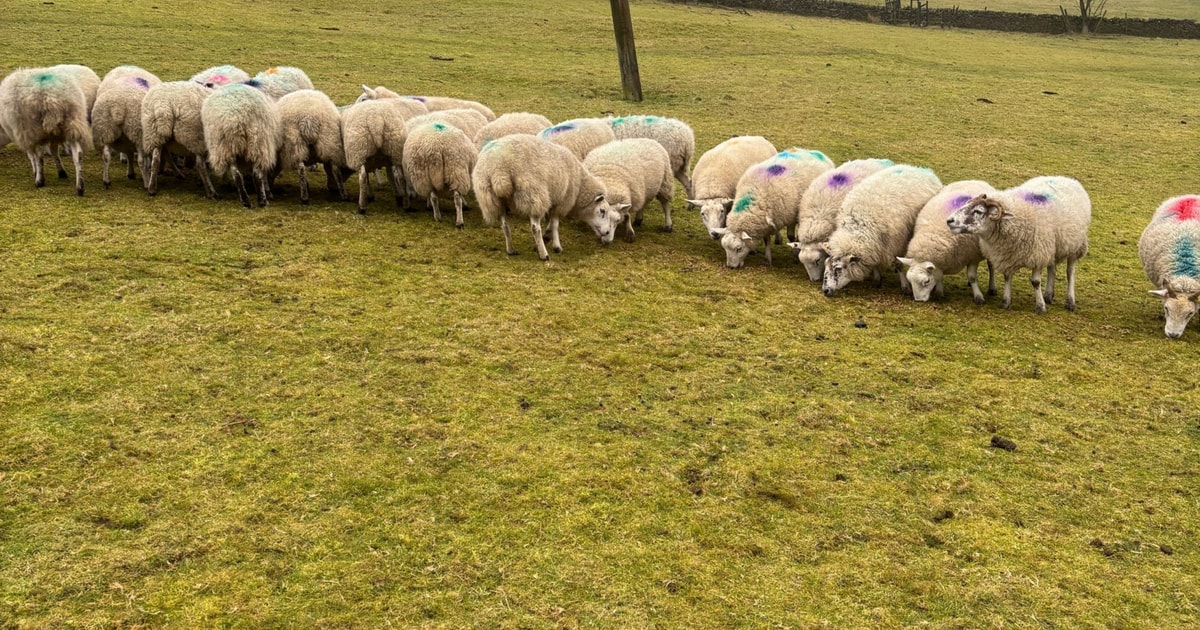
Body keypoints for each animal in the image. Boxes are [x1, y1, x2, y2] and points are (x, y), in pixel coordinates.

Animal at [0, 67, 92, 195]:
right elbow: (54, 151)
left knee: (39, 155)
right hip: (74, 124)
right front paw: (61, 172)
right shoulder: (53, 136)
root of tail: (52, 97)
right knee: (78, 155)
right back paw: (79, 188)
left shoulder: (24, 134)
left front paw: (35, 171)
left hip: (36, 129)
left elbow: (32, 156)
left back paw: (39, 181)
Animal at [472, 134, 623, 260]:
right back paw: (543, 254)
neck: (580, 185)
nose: (607, 232)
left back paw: (510, 250)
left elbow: (551, 222)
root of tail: (499, 169)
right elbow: (555, 224)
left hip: (493, 200)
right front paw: (557, 246)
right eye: (602, 210)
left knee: (505, 225)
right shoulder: (562, 201)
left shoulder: (555, 199)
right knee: (535, 227)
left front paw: (548, 235)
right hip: (534, 195)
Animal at [821, 165, 943, 297]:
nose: (825, 290)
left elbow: (899, 265)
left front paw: (905, 287)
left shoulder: (896, 245)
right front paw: (877, 278)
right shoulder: (875, 246)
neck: (859, 225)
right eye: (826, 264)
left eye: (838, 268)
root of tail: (919, 168)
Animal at [945, 176, 1091, 313]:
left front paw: (1040, 307)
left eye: (978, 211)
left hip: (1076, 246)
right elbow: (1007, 277)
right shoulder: (1009, 255)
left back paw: (1070, 302)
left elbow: (1036, 282)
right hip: (1053, 245)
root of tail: (1067, 179)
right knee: (1052, 268)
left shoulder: (1037, 254)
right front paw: (1006, 302)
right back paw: (1048, 295)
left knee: (1070, 272)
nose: (949, 220)